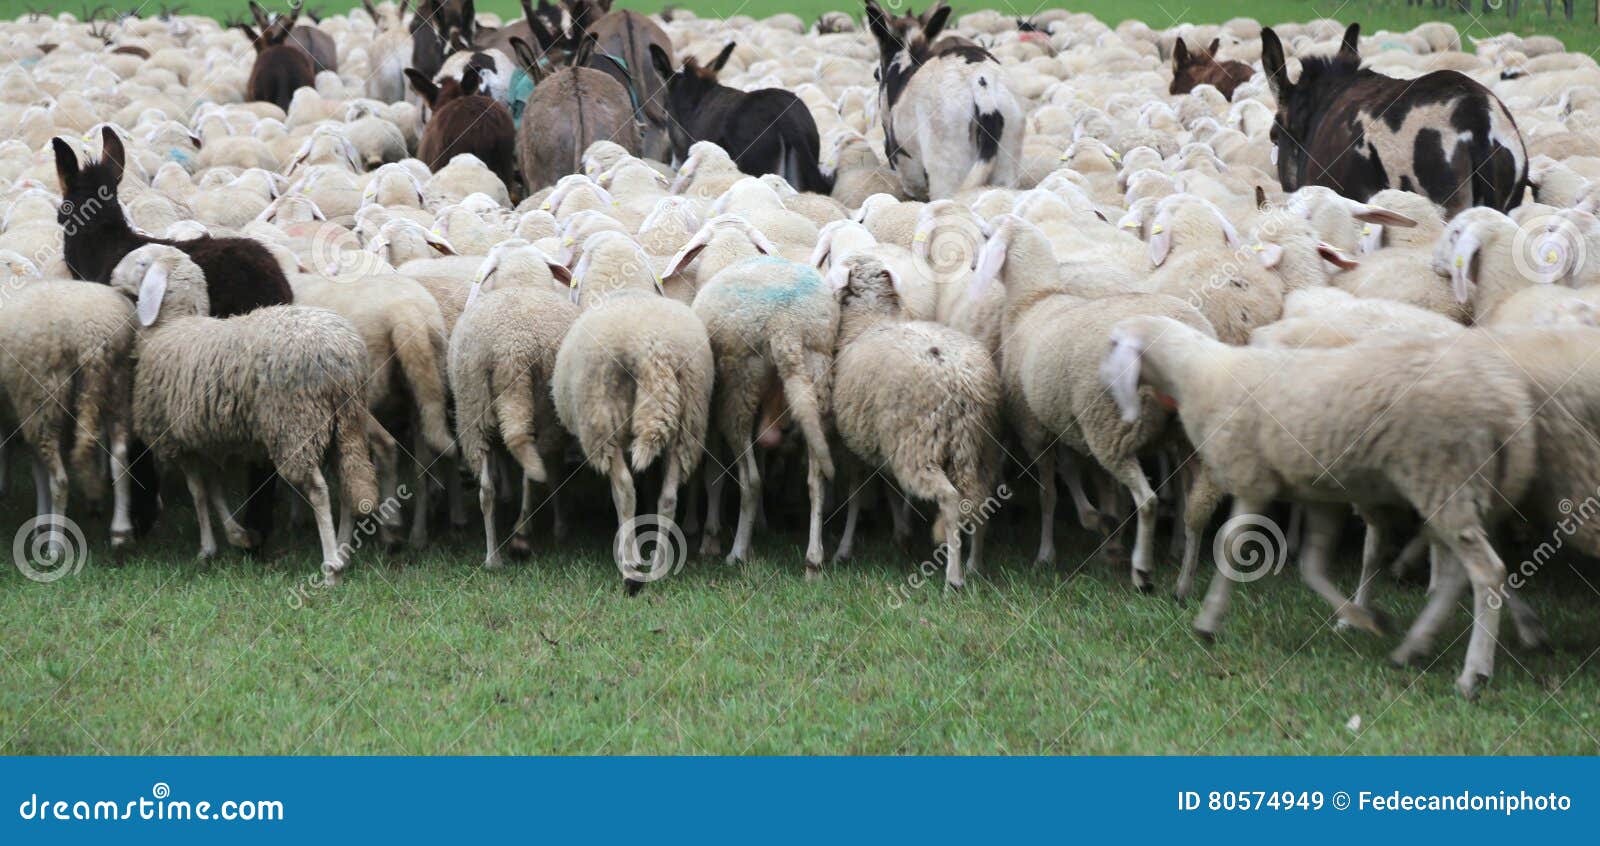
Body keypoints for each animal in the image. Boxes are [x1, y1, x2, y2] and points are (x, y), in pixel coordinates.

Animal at [110, 245, 379, 583]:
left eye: (142, 262)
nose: (111, 276)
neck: (171, 325)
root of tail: (342, 354)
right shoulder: (207, 438)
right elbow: (214, 490)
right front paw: (238, 536)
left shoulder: (181, 441)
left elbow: (199, 493)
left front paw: (207, 550)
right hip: (344, 422)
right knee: (347, 483)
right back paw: (344, 551)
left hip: (295, 423)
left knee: (318, 490)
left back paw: (331, 566)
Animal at [552, 232, 715, 593]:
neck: (622, 287)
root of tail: (651, 347)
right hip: (687, 423)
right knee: (668, 496)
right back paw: (660, 563)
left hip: (602, 421)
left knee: (624, 490)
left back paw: (629, 564)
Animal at [829, 253, 1001, 589]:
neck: (870, 321)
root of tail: (960, 380)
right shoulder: (883, 445)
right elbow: (893, 491)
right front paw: (901, 537)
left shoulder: (854, 447)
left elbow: (855, 497)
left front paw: (843, 549)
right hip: (981, 447)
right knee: (980, 499)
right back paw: (975, 565)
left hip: (918, 447)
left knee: (951, 499)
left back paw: (954, 579)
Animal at [1102, 315, 1537, 697]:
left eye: (1112, 343)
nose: (1099, 380)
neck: (1202, 375)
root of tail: (1504, 411)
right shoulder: (1317, 495)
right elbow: (1312, 567)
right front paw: (1363, 618)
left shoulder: (1251, 480)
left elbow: (1229, 545)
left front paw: (1208, 622)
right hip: (1455, 489)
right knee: (1455, 574)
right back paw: (1415, 646)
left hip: (1444, 479)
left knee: (1486, 572)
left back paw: (1473, 673)